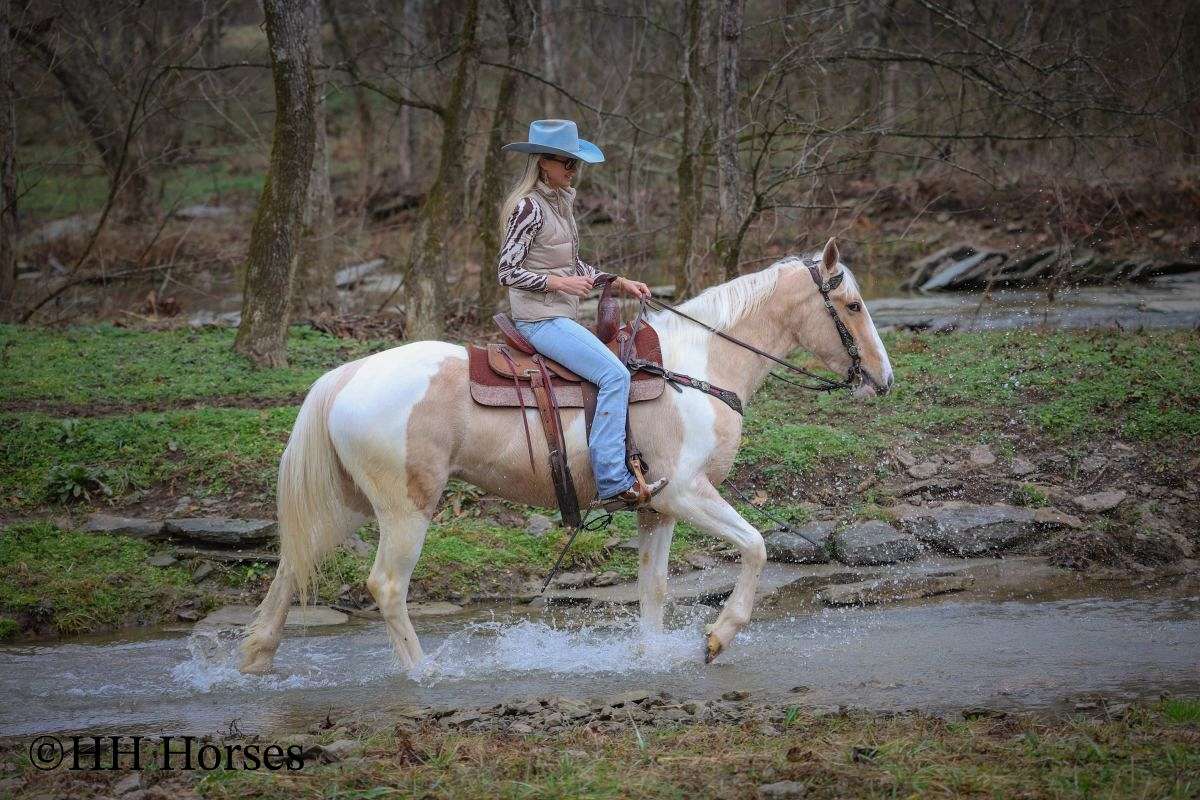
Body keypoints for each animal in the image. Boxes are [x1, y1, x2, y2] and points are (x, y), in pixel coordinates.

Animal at [238, 237, 893, 675]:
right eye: (854, 306)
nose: (884, 380)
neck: (696, 369)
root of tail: (346, 376)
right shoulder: (687, 491)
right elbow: (756, 546)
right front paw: (717, 638)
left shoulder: (657, 507)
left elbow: (653, 588)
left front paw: (648, 656)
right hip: (406, 509)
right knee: (387, 585)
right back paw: (424, 674)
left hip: (349, 503)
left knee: (293, 563)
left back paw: (256, 657)